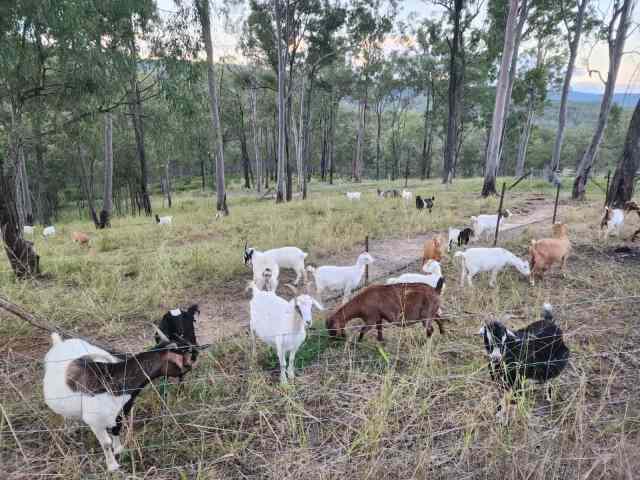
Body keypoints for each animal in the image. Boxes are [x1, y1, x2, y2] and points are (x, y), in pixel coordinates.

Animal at [43, 330, 194, 472]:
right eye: (185, 359)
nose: (190, 368)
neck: (112, 380)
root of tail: (60, 343)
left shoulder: (120, 412)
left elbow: (116, 430)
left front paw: (119, 449)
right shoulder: (95, 421)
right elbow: (106, 443)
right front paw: (112, 466)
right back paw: (69, 429)